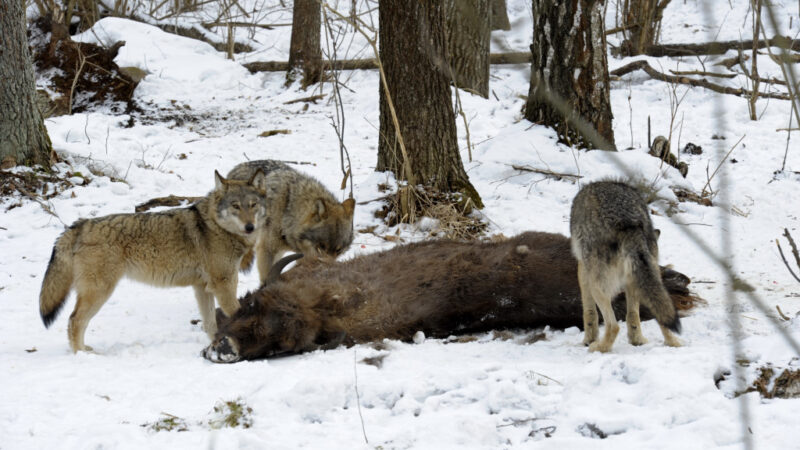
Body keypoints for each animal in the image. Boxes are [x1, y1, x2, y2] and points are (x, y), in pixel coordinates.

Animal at [39, 170, 267, 353]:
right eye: (236, 206)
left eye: (253, 205)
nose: (250, 227)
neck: (215, 226)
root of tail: (81, 224)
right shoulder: (224, 285)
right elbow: (237, 314)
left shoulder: (202, 287)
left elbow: (210, 324)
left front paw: (215, 345)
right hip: (99, 292)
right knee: (74, 320)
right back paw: (82, 354)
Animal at [226, 160, 355, 284]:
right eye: (322, 247)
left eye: (338, 250)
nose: (329, 267)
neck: (287, 211)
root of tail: (236, 168)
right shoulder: (266, 250)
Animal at [569, 180, 682, 353]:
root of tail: (629, 222)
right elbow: (633, 315)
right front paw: (636, 341)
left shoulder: (582, 268)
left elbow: (589, 312)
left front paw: (588, 340)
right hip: (647, 279)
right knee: (657, 317)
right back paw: (669, 342)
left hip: (598, 286)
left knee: (613, 326)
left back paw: (598, 347)